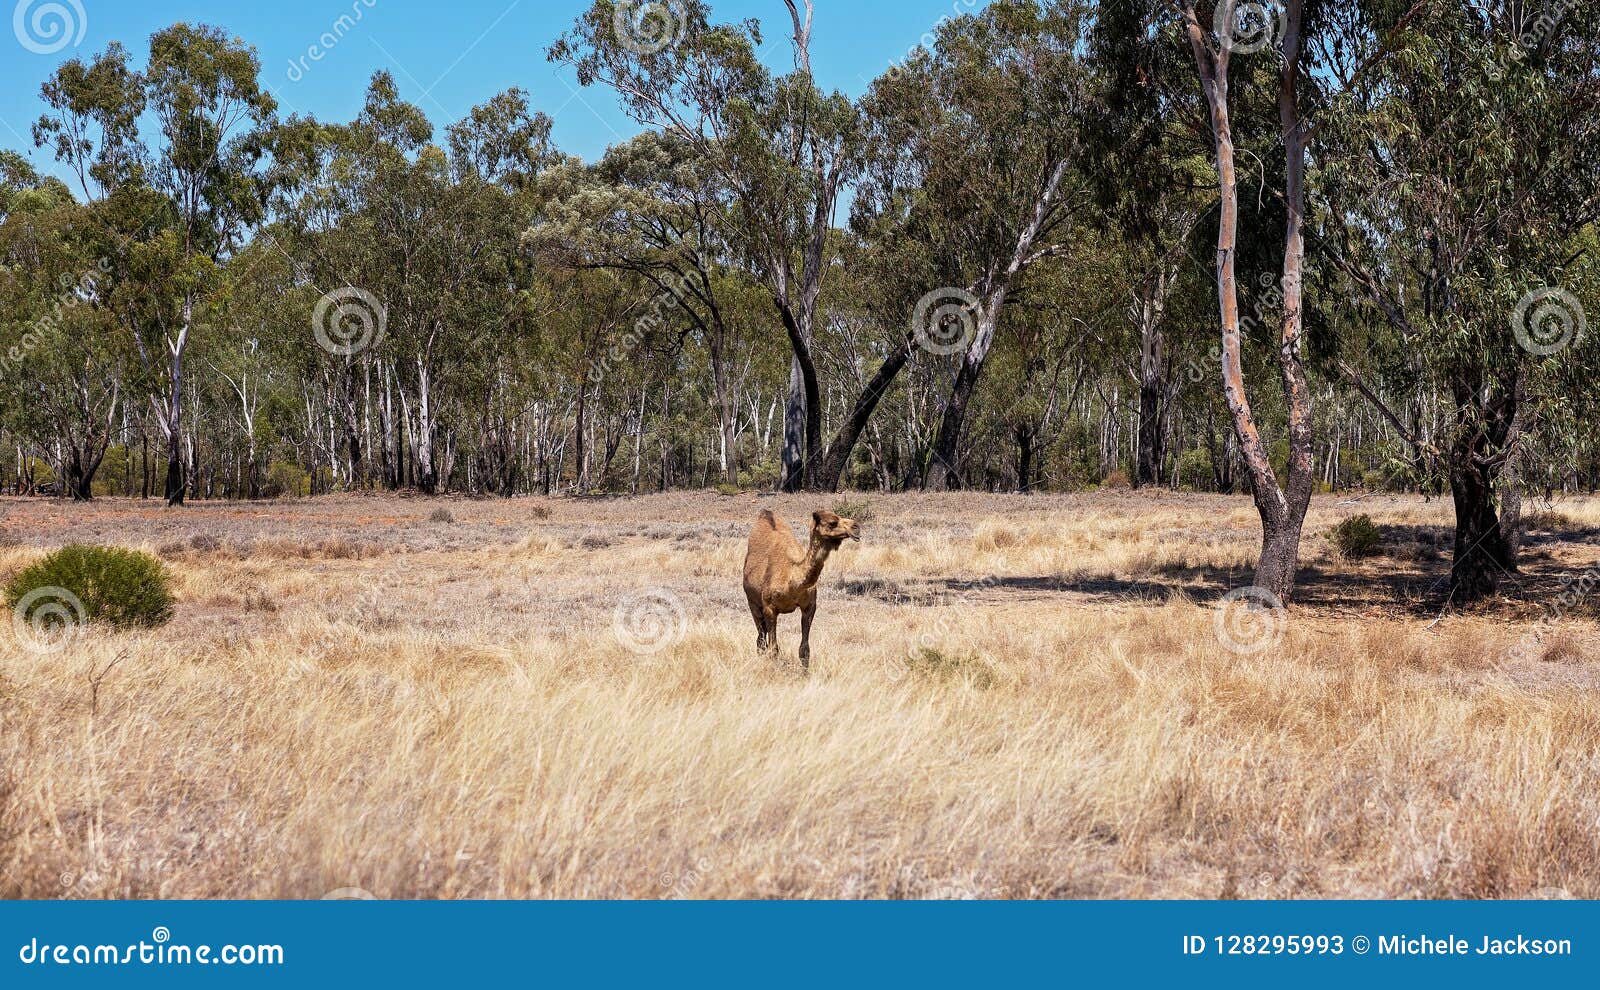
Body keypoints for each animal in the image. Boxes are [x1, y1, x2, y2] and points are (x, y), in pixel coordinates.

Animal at [742, 508, 861, 669]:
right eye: (832, 522)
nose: (856, 527)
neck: (791, 578)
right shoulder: (769, 608)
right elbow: (774, 649)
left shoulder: (809, 606)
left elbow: (804, 650)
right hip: (753, 602)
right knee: (761, 640)